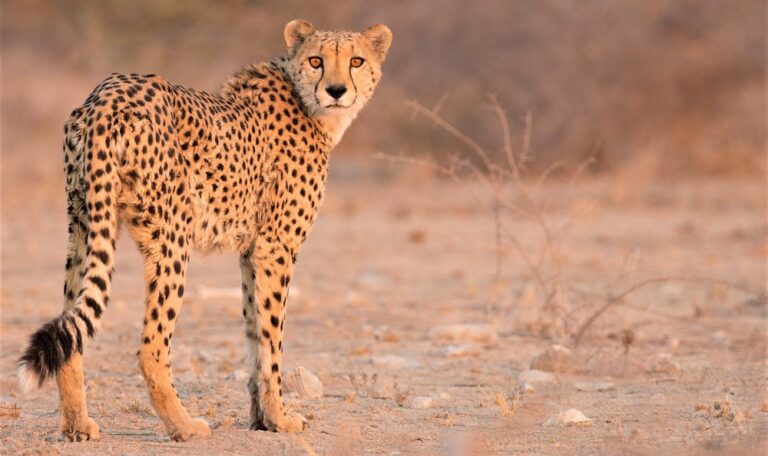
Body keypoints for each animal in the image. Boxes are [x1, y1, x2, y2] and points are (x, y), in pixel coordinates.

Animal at [17, 19, 392, 442]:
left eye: (356, 61)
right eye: (316, 60)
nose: (336, 90)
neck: (308, 106)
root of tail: (107, 94)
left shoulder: (252, 251)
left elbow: (254, 332)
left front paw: (261, 419)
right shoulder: (277, 246)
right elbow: (272, 341)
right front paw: (281, 419)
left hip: (84, 223)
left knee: (71, 325)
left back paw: (77, 425)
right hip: (172, 238)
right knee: (151, 347)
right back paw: (185, 426)